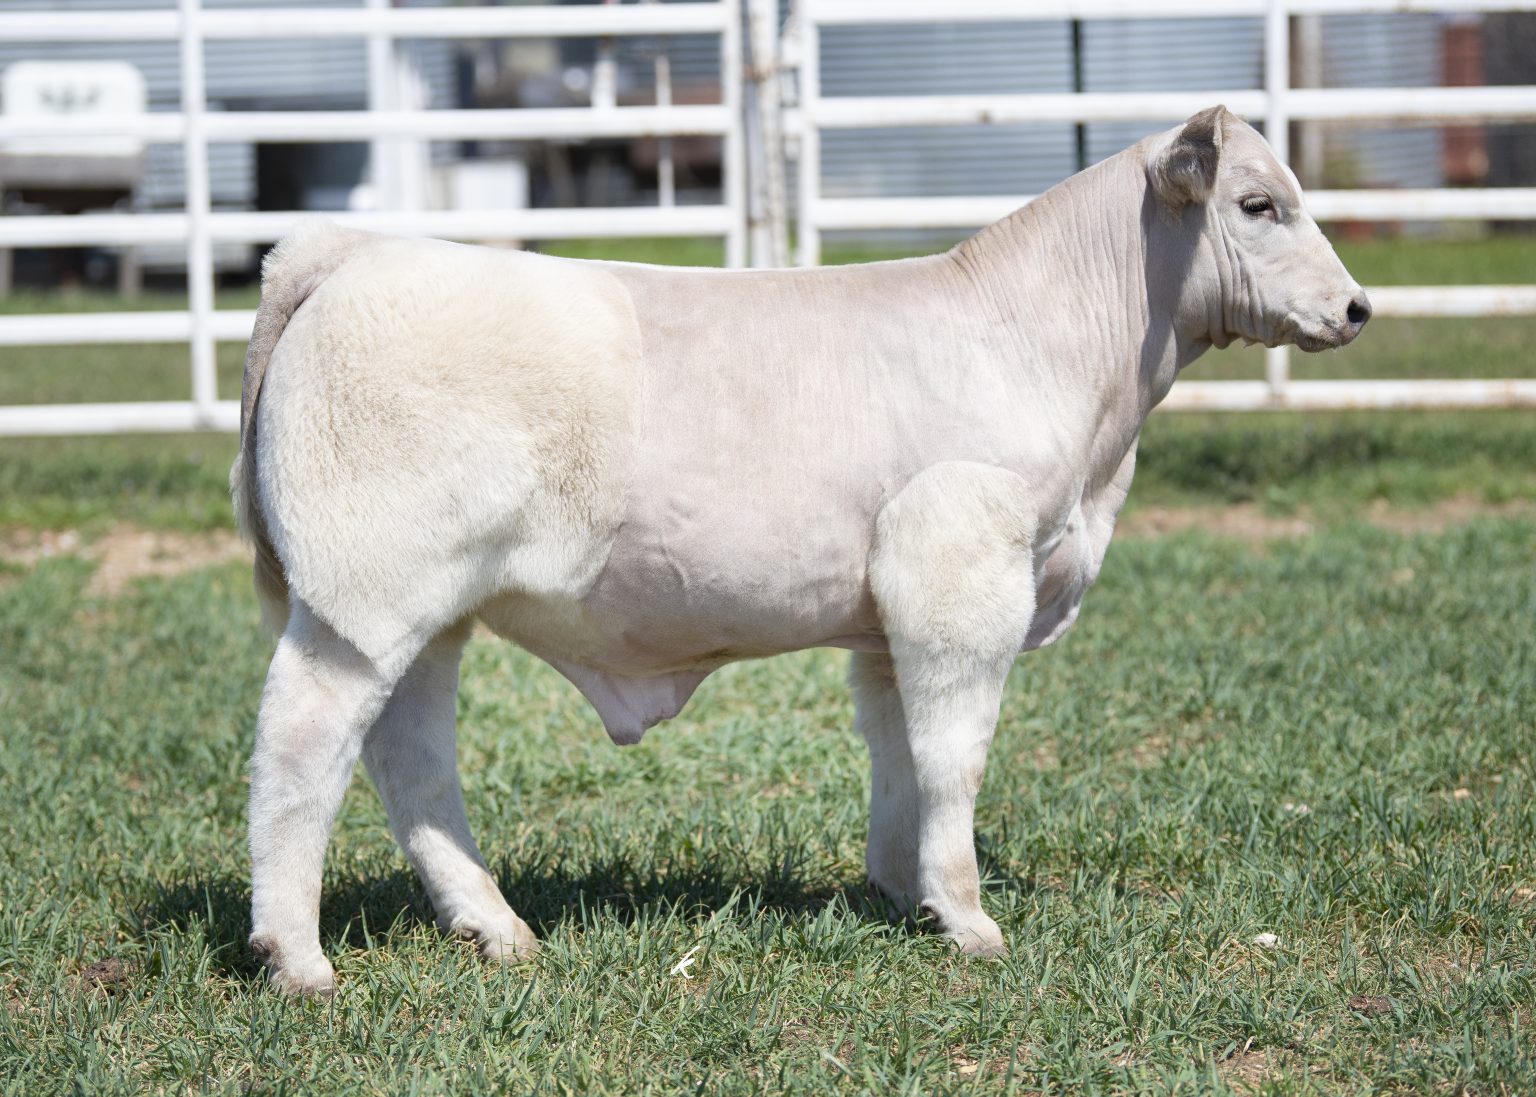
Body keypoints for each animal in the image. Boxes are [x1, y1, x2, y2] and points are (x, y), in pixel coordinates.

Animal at [232, 106, 1369, 994]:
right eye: (1258, 205)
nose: (1359, 307)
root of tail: (347, 251)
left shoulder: (891, 613)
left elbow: (897, 747)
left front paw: (904, 890)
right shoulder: (962, 578)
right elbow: (954, 751)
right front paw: (970, 919)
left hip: (431, 613)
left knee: (411, 754)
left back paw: (495, 926)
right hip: (363, 599)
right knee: (305, 742)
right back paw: (299, 956)